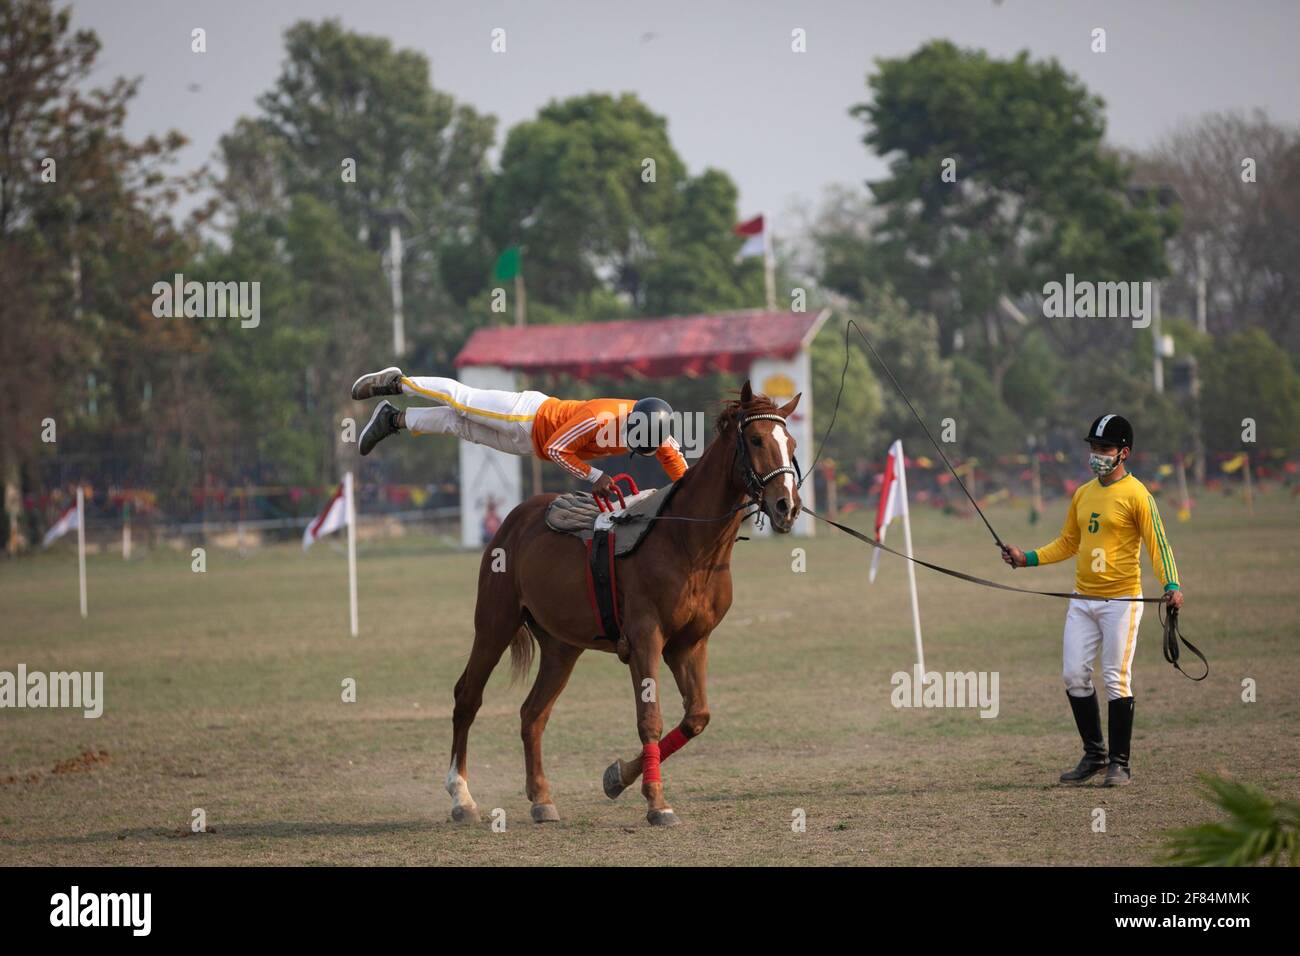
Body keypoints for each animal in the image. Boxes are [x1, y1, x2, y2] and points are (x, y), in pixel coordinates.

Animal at [444, 381, 803, 827]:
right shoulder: (646, 639)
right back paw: (461, 797)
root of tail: (513, 520)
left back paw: (541, 798)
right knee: (467, 697)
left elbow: (696, 717)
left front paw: (617, 777)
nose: (787, 506)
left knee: (533, 713)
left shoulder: (691, 644)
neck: (688, 544)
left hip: (562, 648)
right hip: (495, 622)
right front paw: (656, 802)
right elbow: (650, 719)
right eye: (755, 440)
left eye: (791, 443)